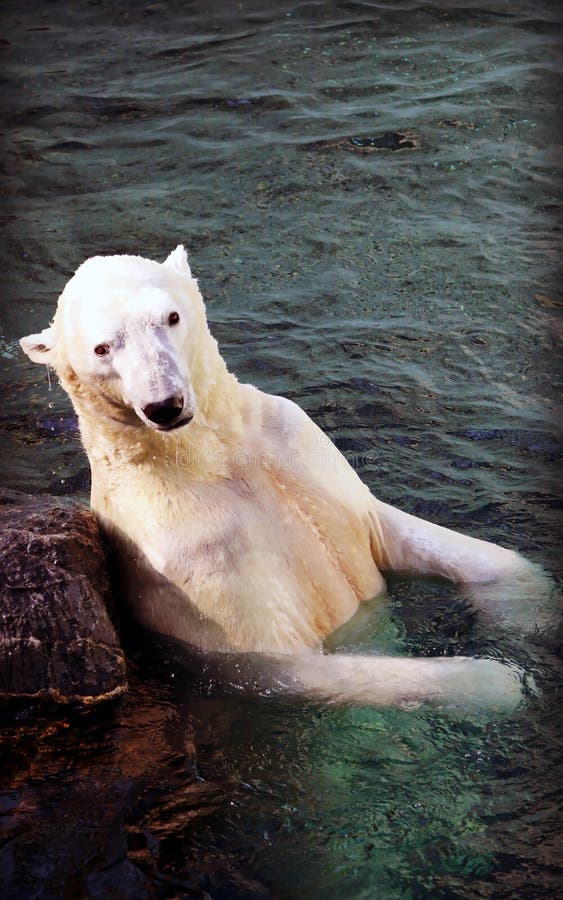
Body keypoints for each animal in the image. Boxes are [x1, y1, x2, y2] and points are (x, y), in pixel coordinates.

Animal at [20, 246, 544, 709]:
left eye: (170, 317)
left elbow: (394, 530)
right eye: (102, 348)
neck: (211, 458)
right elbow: (280, 663)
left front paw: (527, 604)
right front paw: (499, 679)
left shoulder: (296, 450)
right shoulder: (187, 551)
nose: (164, 405)